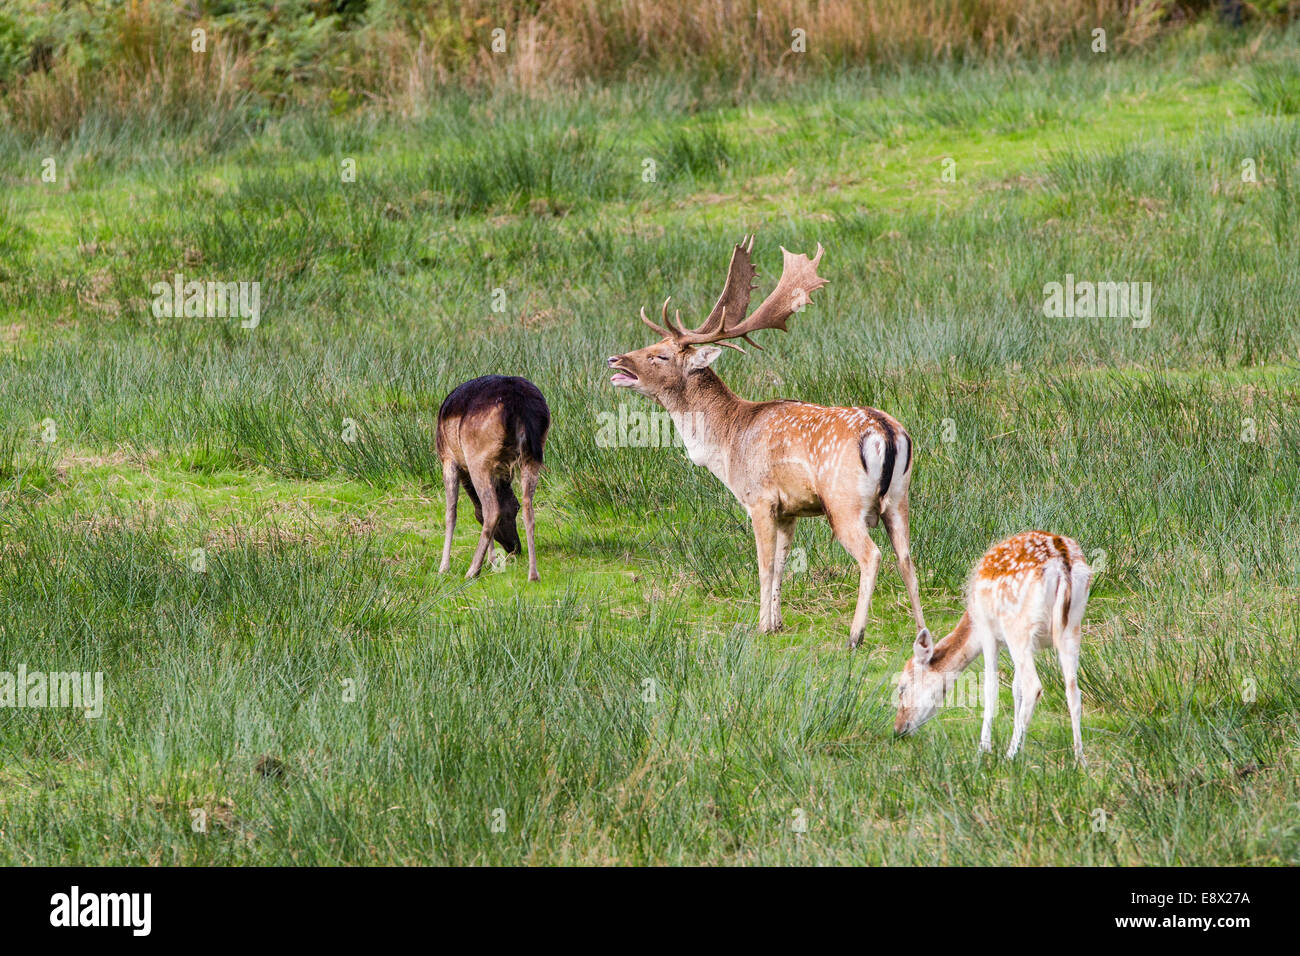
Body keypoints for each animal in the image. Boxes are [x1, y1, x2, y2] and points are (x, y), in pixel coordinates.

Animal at [436, 375, 550, 581]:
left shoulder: (448, 458)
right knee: (528, 506)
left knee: (491, 510)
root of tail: (518, 403)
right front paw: (492, 561)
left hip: (478, 459)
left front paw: (443, 568)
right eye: (514, 508)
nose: (515, 547)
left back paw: (472, 570)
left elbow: (452, 513)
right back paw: (533, 574)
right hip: (534, 454)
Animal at [607, 236, 927, 650]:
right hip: (900, 499)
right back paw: (922, 635)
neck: (727, 441)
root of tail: (886, 431)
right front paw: (775, 622)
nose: (615, 360)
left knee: (872, 556)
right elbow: (781, 564)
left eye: (659, 355)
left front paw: (760, 626)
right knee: (907, 557)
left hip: (843, 502)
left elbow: (763, 563)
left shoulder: (758, 497)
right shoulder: (789, 508)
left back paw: (855, 636)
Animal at [894, 531, 1093, 763]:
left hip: (1017, 627)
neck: (972, 622)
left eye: (902, 687)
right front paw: (1021, 744)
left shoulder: (987, 632)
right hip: (1072, 626)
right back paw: (1079, 758)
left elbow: (991, 688)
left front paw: (984, 749)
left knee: (1034, 686)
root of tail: (1062, 563)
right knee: (1073, 690)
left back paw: (1009, 755)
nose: (898, 729)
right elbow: (1016, 689)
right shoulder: (1032, 645)